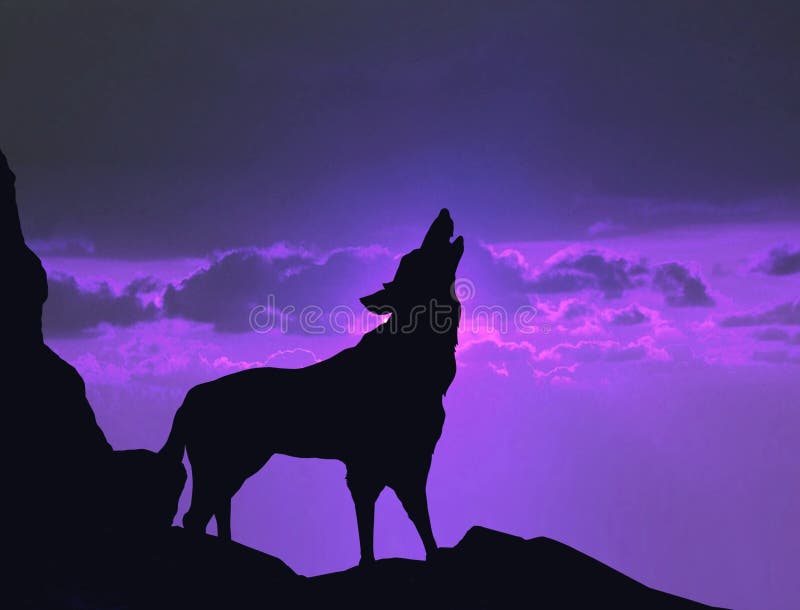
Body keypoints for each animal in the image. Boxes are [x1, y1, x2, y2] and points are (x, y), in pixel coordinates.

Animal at [160, 209, 463, 564]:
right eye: (415, 256)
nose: (443, 213)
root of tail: (186, 401)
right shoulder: (371, 465)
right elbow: (378, 528)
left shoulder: (411, 459)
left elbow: (418, 522)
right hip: (229, 463)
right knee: (193, 517)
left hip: (236, 466)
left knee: (211, 513)